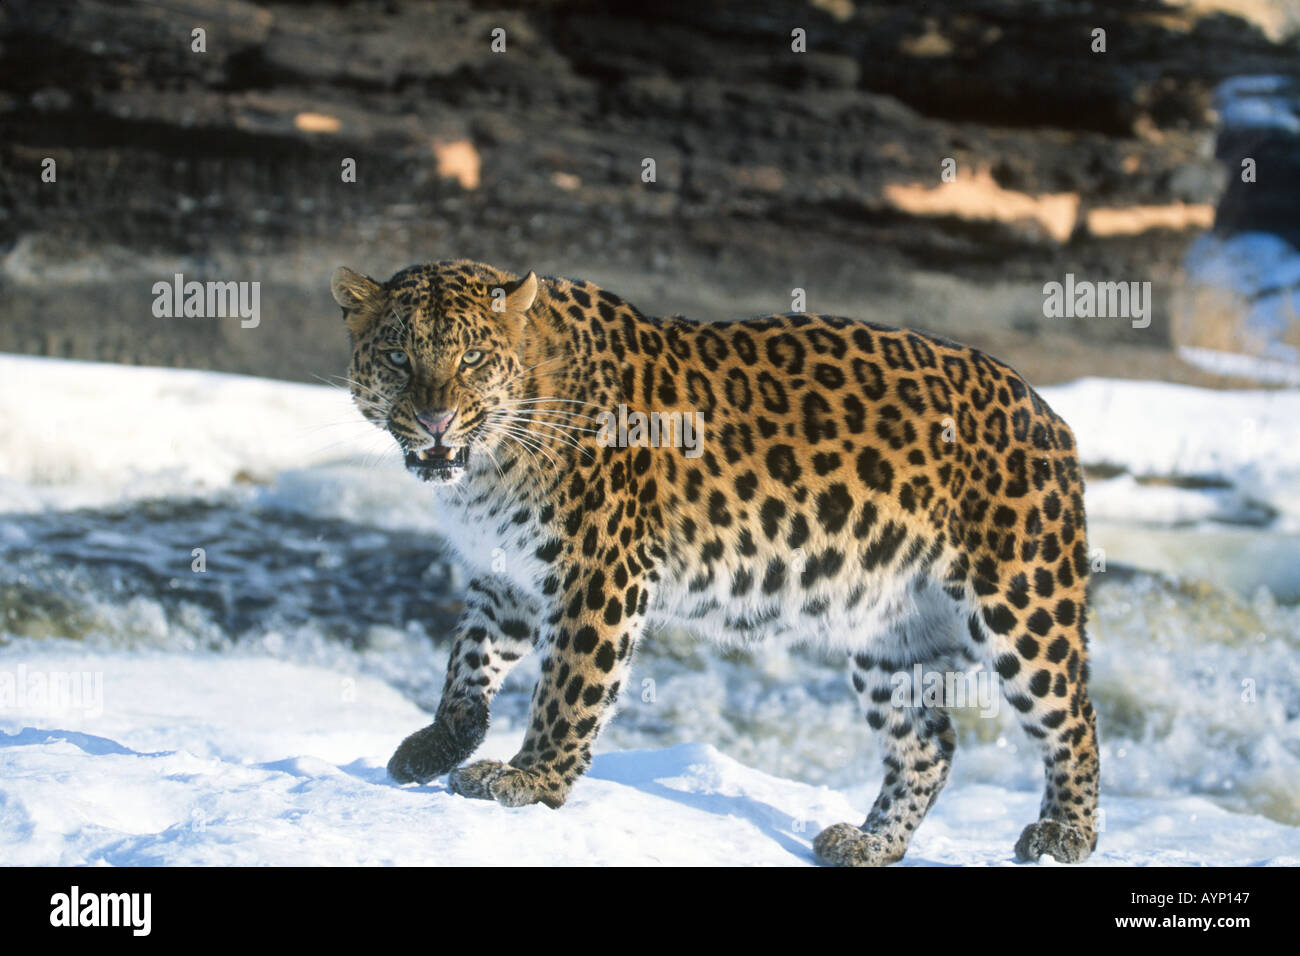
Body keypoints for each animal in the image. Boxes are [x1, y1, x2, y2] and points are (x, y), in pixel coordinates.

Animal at [330, 258, 1100, 866]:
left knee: (1074, 718)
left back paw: (1065, 834)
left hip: (1022, 600)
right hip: (890, 631)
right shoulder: (509, 577)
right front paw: (438, 744)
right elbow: (469, 658)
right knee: (929, 744)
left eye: (470, 360)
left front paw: (531, 780)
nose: (433, 421)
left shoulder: (599, 570)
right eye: (397, 358)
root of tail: (1050, 412)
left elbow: (571, 688)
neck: (488, 467)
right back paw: (870, 843)